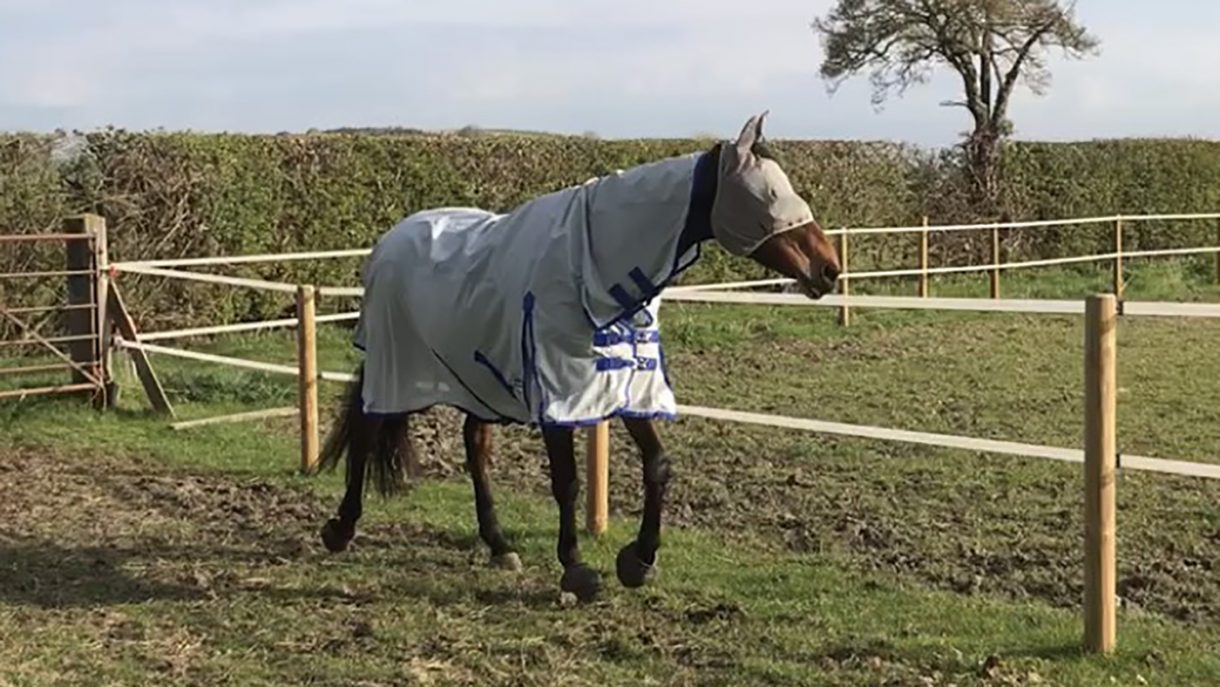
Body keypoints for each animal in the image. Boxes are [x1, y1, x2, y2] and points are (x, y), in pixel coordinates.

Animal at [311, 111, 841, 602]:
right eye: (766, 195)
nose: (828, 269)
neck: (593, 266)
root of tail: (393, 239)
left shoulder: (627, 385)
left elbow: (659, 465)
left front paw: (639, 560)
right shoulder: (559, 395)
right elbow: (567, 482)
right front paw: (577, 568)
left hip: (477, 377)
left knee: (474, 446)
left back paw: (499, 545)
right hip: (397, 366)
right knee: (368, 428)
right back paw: (341, 528)